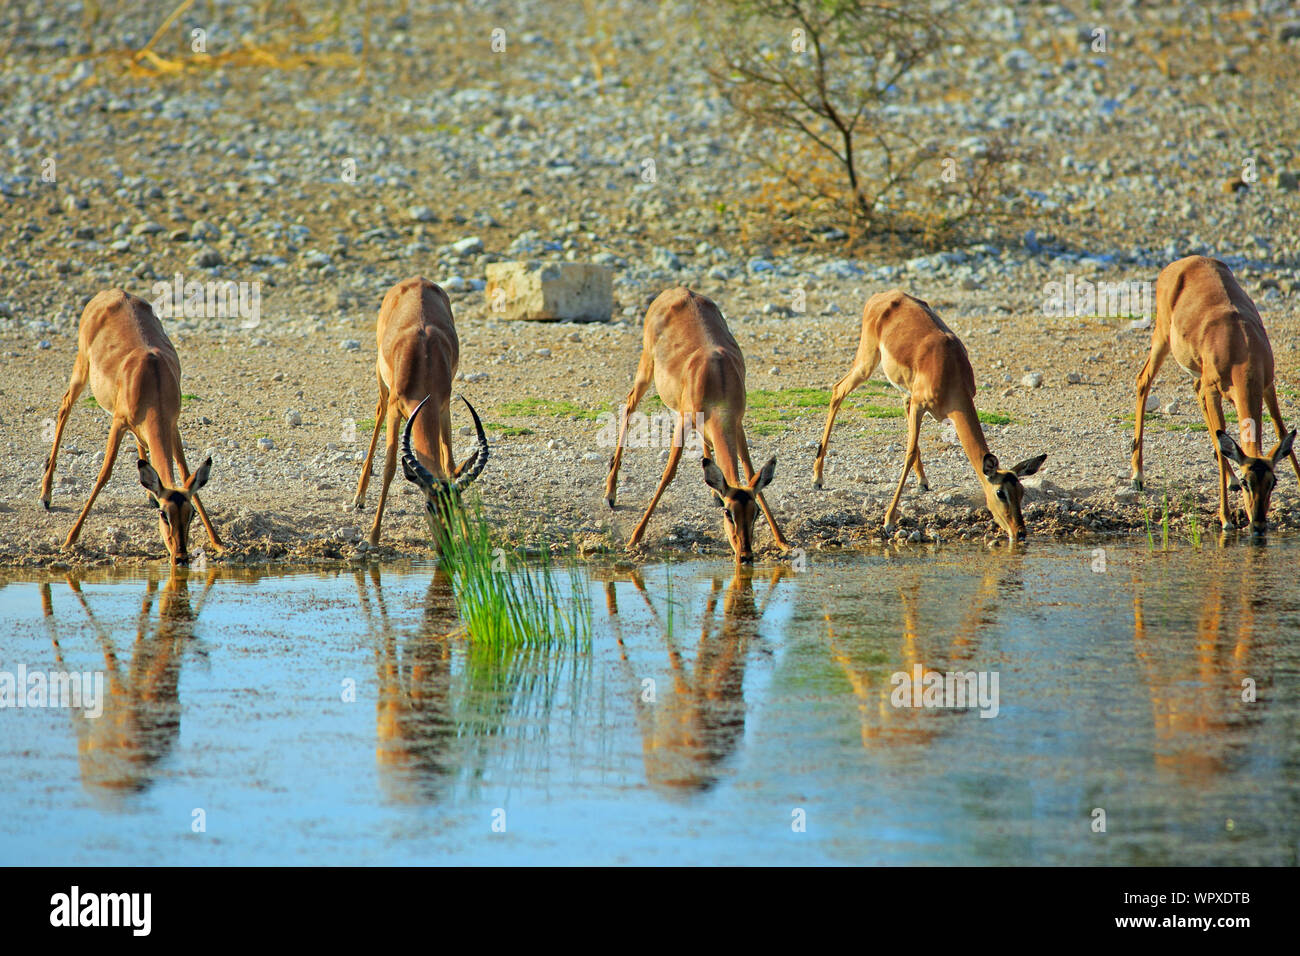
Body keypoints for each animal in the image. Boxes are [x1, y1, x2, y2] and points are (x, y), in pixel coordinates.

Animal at [40, 289, 223, 565]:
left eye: (190, 514)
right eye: (164, 514)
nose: (180, 557)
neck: (151, 379)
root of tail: (113, 292)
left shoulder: (172, 426)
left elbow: (185, 471)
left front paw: (218, 542)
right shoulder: (118, 422)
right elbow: (104, 473)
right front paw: (70, 539)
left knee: (142, 448)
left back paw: (148, 494)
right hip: (81, 368)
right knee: (64, 407)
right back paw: (46, 496)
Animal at [352, 277, 489, 546]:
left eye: (455, 505)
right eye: (429, 505)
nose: (445, 546)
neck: (425, 362)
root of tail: (417, 279)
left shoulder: (443, 406)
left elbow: (450, 464)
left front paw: (468, 536)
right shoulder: (396, 408)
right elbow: (390, 467)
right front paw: (373, 536)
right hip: (381, 381)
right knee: (378, 412)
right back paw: (359, 497)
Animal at [603, 287, 789, 563]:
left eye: (755, 512)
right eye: (729, 513)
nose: (745, 555)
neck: (716, 377)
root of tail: (677, 290)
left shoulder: (737, 424)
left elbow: (750, 470)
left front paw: (782, 540)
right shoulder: (683, 420)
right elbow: (668, 473)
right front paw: (635, 537)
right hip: (646, 368)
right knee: (628, 405)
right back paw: (610, 494)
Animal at [812, 290, 1047, 545]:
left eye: (1022, 492)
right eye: (1000, 492)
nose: (1020, 533)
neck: (949, 369)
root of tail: (882, 296)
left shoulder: (918, 404)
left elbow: (912, 448)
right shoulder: (919, 405)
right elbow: (908, 453)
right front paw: (888, 521)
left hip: (903, 390)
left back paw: (923, 482)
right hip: (867, 363)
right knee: (838, 390)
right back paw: (817, 479)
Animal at [1131, 255, 1298, 535]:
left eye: (1273, 482)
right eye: (1247, 482)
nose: (1258, 525)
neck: (1242, 347)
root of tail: (1182, 262)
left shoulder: (1268, 385)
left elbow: (1282, 431)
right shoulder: (1214, 388)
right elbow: (1221, 447)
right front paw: (1226, 518)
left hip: (1198, 373)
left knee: (1196, 394)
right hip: (1162, 337)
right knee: (1143, 380)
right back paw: (1137, 476)